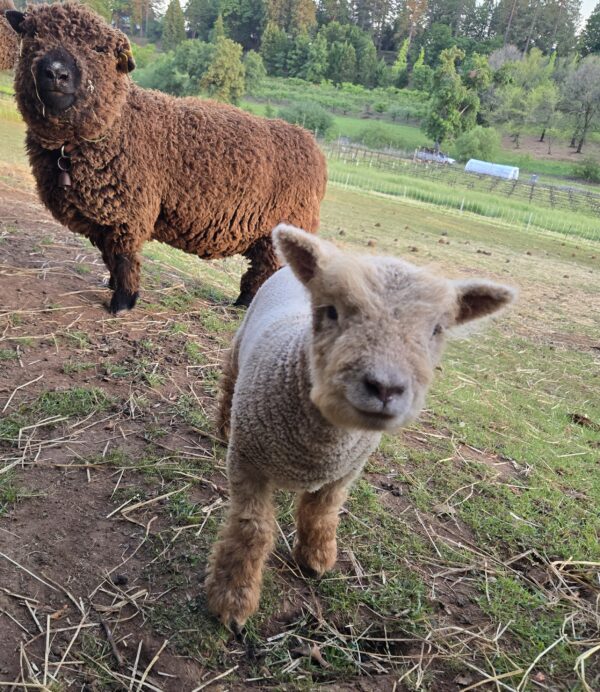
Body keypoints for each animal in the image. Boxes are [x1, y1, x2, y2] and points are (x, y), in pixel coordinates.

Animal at [4, 3, 326, 313]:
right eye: (32, 33)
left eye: (98, 48)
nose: (56, 73)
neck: (117, 123)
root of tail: (312, 145)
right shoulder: (103, 217)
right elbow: (108, 255)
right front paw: (113, 285)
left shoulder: (130, 212)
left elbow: (123, 258)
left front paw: (123, 302)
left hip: (287, 227)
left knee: (268, 270)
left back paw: (245, 303)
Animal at [205, 225, 516, 629]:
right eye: (331, 311)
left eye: (437, 330)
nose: (385, 387)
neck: (317, 447)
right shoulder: (247, 464)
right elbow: (251, 530)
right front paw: (232, 597)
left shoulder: (343, 474)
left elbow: (322, 514)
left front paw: (316, 558)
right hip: (238, 348)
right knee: (228, 384)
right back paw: (221, 427)